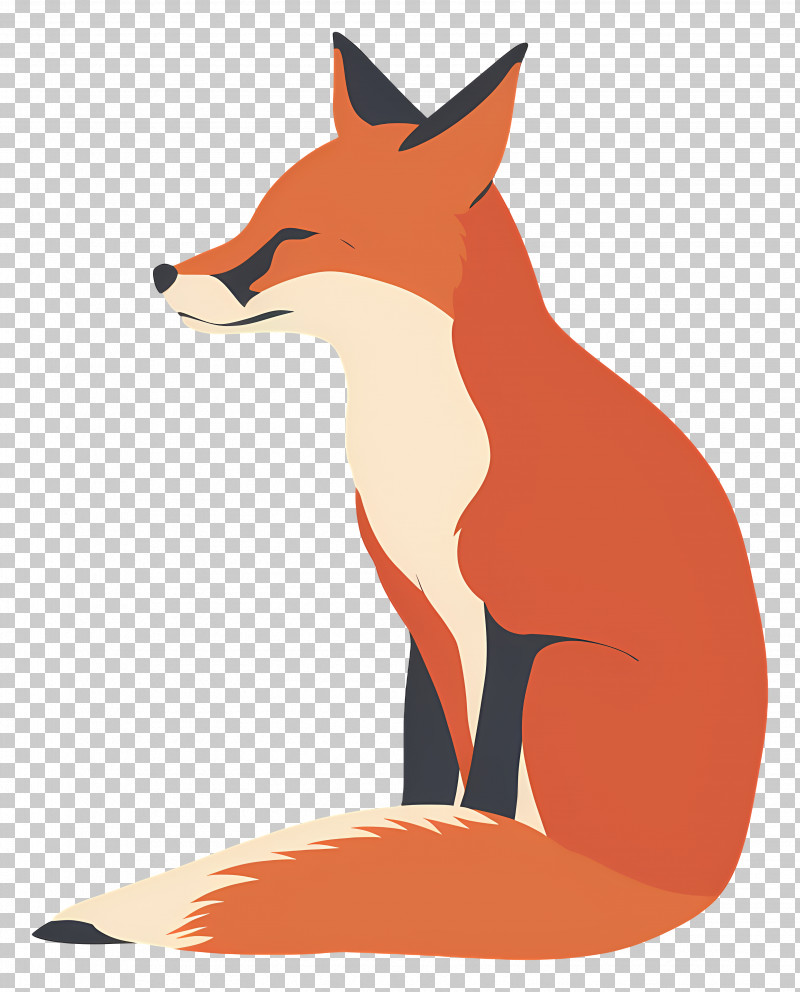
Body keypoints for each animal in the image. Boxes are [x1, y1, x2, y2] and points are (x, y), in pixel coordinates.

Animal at [33, 34, 767, 959]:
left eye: (292, 235)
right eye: (255, 216)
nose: (162, 272)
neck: (418, 443)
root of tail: (688, 882)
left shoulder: (512, 623)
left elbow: (479, 788)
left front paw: (464, 863)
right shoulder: (420, 609)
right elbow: (427, 770)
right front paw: (422, 837)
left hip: (568, 669)